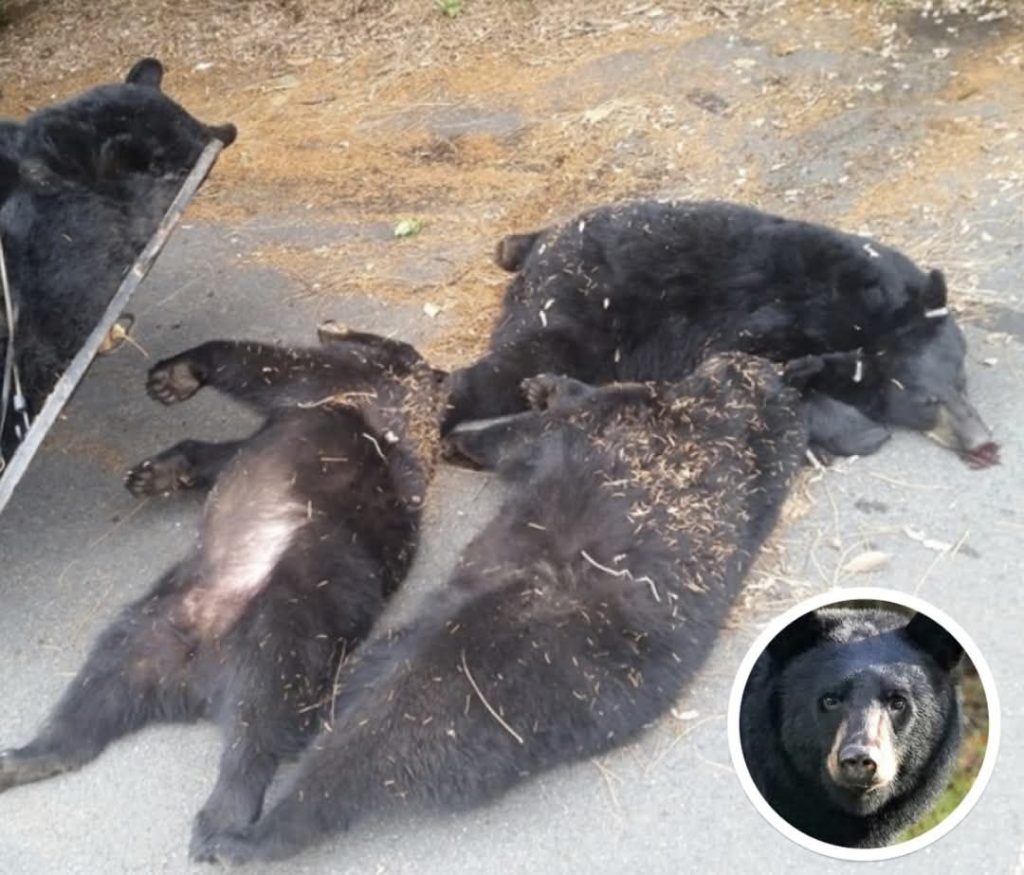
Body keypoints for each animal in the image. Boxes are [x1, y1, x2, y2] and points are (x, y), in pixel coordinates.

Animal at [0, 326, 448, 861]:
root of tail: (200, 682)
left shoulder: (344, 388)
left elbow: (271, 369)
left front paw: (176, 375)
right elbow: (229, 449)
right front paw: (157, 469)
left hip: (282, 623)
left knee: (262, 714)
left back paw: (222, 816)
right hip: (152, 629)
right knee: (95, 691)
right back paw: (28, 756)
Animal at [195, 351, 810, 864]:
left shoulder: (620, 421)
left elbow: (539, 432)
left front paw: (467, 433)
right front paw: (546, 383)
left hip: (481, 676)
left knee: (365, 759)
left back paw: (243, 835)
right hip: (418, 645)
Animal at [446, 200, 997, 467]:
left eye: (963, 382)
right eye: (926, 400)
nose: (984, 441)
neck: (876, 319)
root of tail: (542, 249)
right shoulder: (778, 315)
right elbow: (745, 363)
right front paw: (846, 427)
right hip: (580, 308)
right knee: (512, 366)